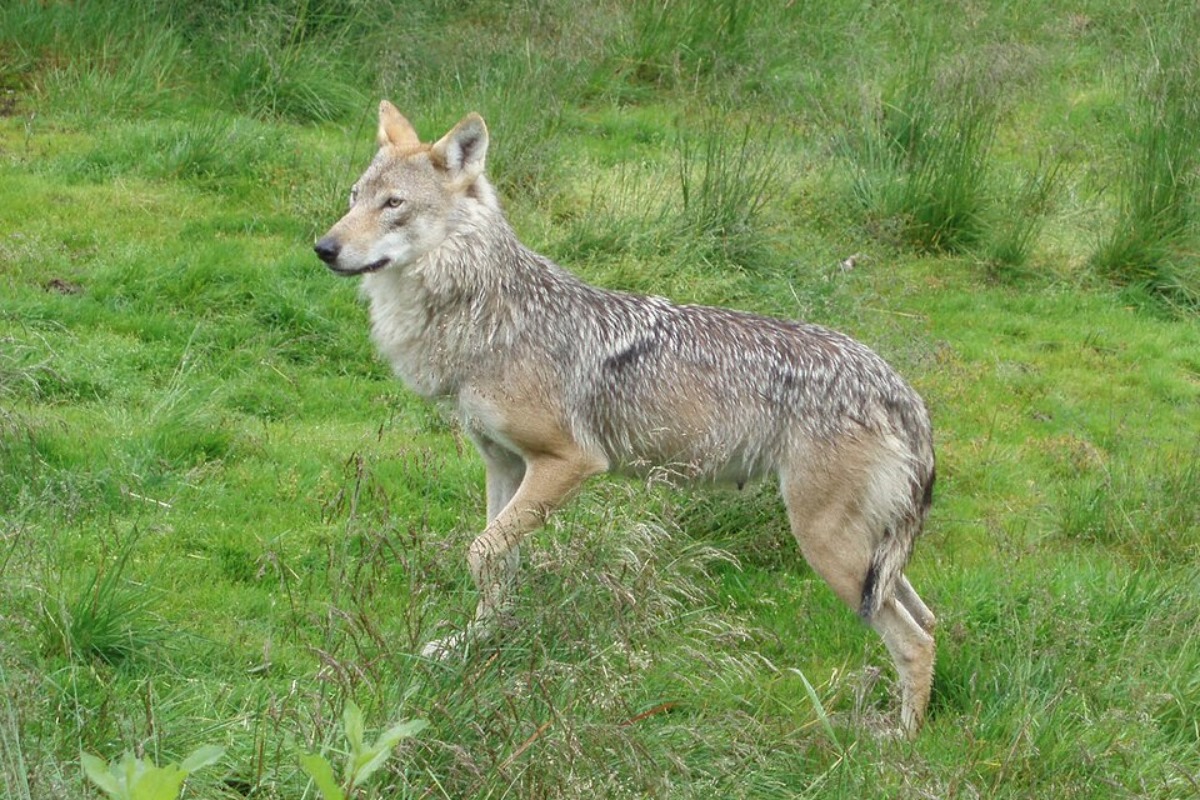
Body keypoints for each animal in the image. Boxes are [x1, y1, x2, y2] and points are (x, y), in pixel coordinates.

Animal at [314, 101, 938, 736]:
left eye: (394, 204)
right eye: (355, 197)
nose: (323, 247)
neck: (483, 314)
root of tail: (901, 390)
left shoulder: (570, 462)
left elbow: (479, 553)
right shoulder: (504, 465)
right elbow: (497, 561)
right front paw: (478, 643)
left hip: (829, 548)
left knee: (916, 641)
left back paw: (897, 739)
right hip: (868, 556)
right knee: (930, 619)